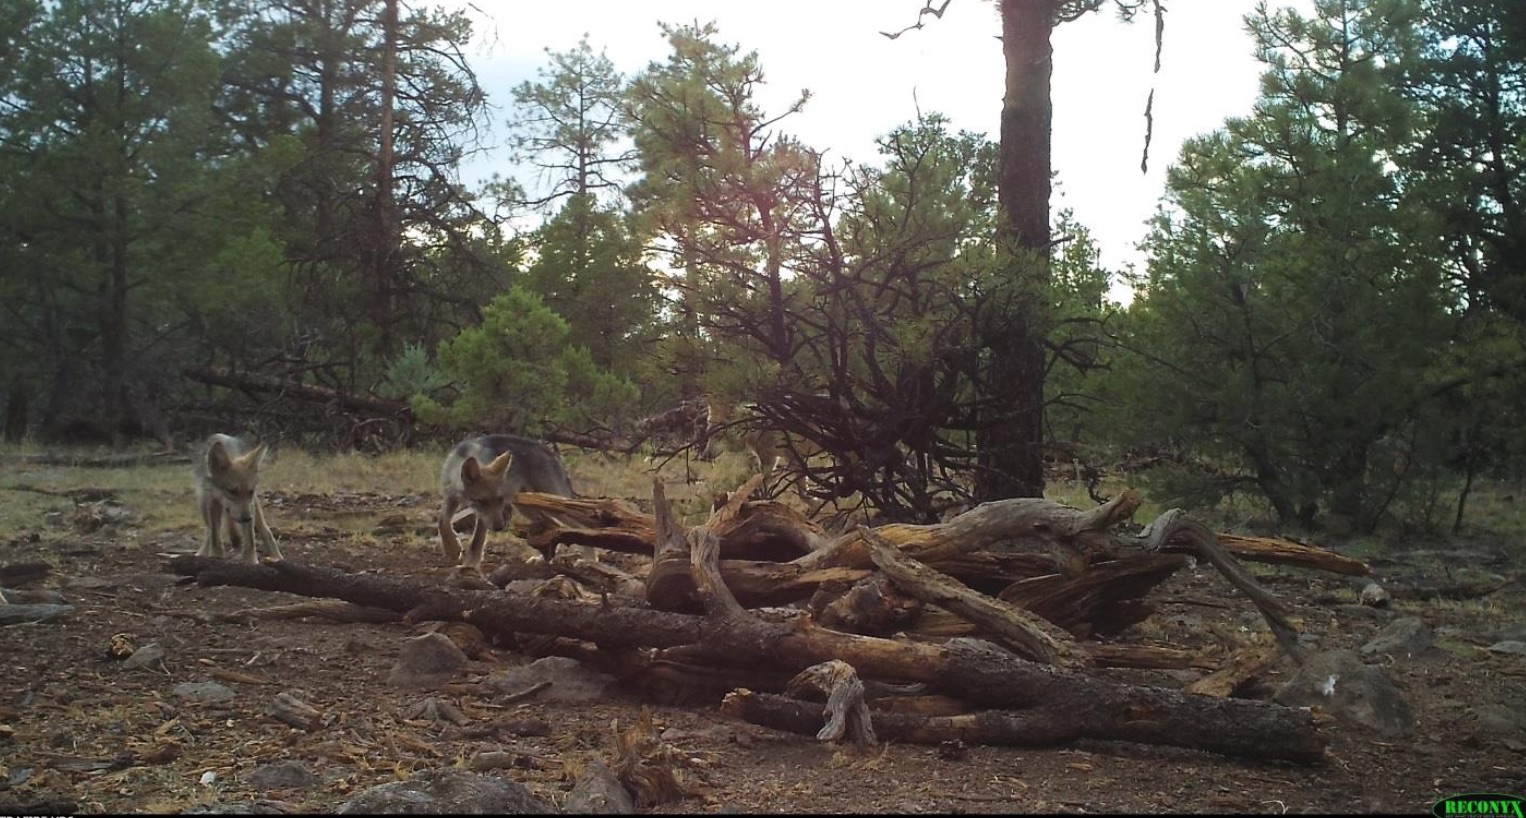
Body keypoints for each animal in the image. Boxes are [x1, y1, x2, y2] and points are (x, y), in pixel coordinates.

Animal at [193, 433, 283, 564]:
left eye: (250, 492)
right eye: (232, 491)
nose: (246, 518)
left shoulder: (250, 504)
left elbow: (250, 542)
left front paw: (251, 562)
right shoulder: (212, 503)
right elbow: (215, 538)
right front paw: (215, 557)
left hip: (255, 507)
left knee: (266, 532)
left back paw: (277, 557)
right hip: (203, 504)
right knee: (209, 531)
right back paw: (201, 553)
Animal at [437, 434, 575, 570]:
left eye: (500, 499)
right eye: (482, 501)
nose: (500, 527)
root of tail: (553, 454)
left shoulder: (482, 518)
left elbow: (477, 541)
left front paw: (470, 564)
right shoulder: (450, 498)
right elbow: (442, 523)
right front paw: (452, 549)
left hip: (548, 507)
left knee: (566, 526)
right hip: (526, 508)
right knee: (555, 527)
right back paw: (544, 559)